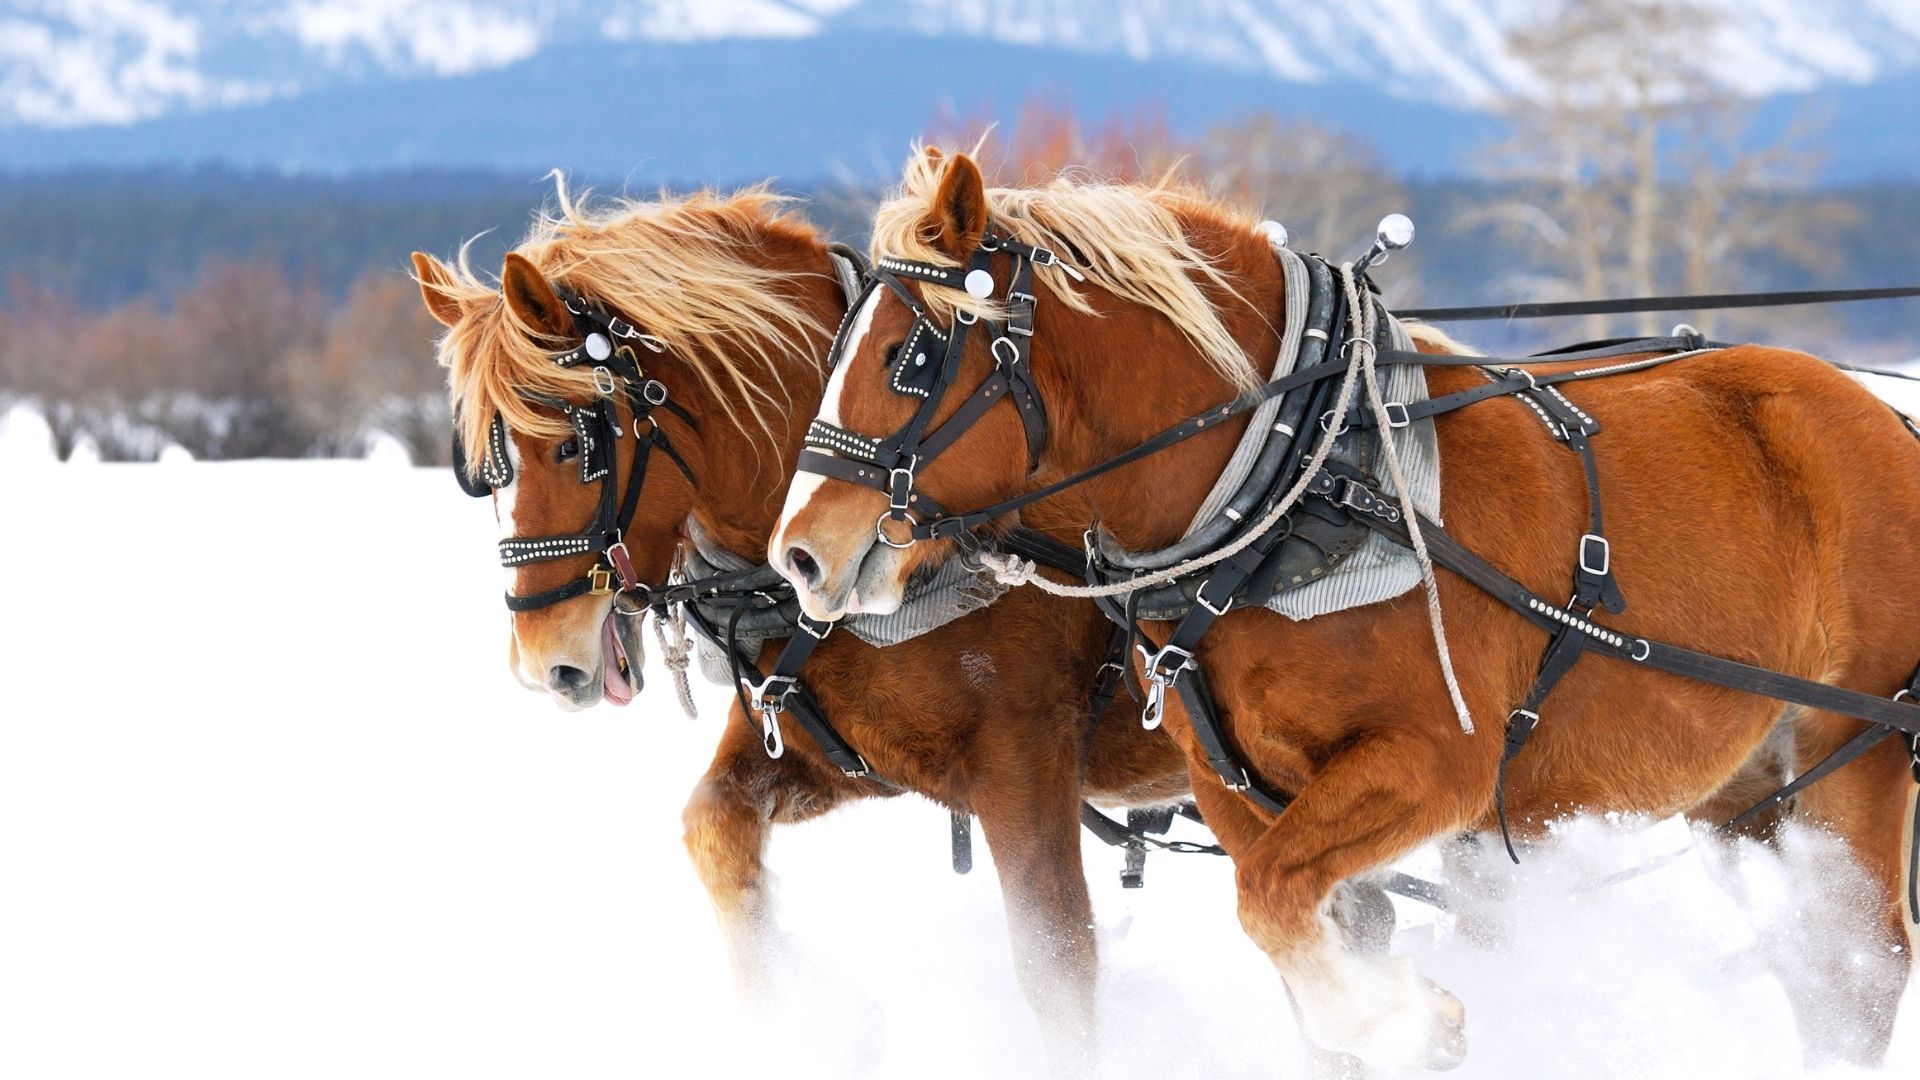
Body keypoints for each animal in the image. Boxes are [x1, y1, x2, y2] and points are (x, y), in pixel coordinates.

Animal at [408, 184, 1204, 1071]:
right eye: (482, 469)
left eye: (573, 444)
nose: (547, 661)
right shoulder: (837, 750)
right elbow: (714, 833)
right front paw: (806, 1024)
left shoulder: (1024, 761)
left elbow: (1058, 963)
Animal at [770, 148, 1920, 1070]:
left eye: (908, 356)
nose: (801, 554)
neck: (1299, 484)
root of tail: (1882, 414)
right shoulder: (1240, 791)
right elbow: (1286, 928)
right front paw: (1395, 1017)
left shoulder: (1436, 766)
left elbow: (1276, 905)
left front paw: (1415, 1017)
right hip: (1750, 789)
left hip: (1854, 750)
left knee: (1858, 968)